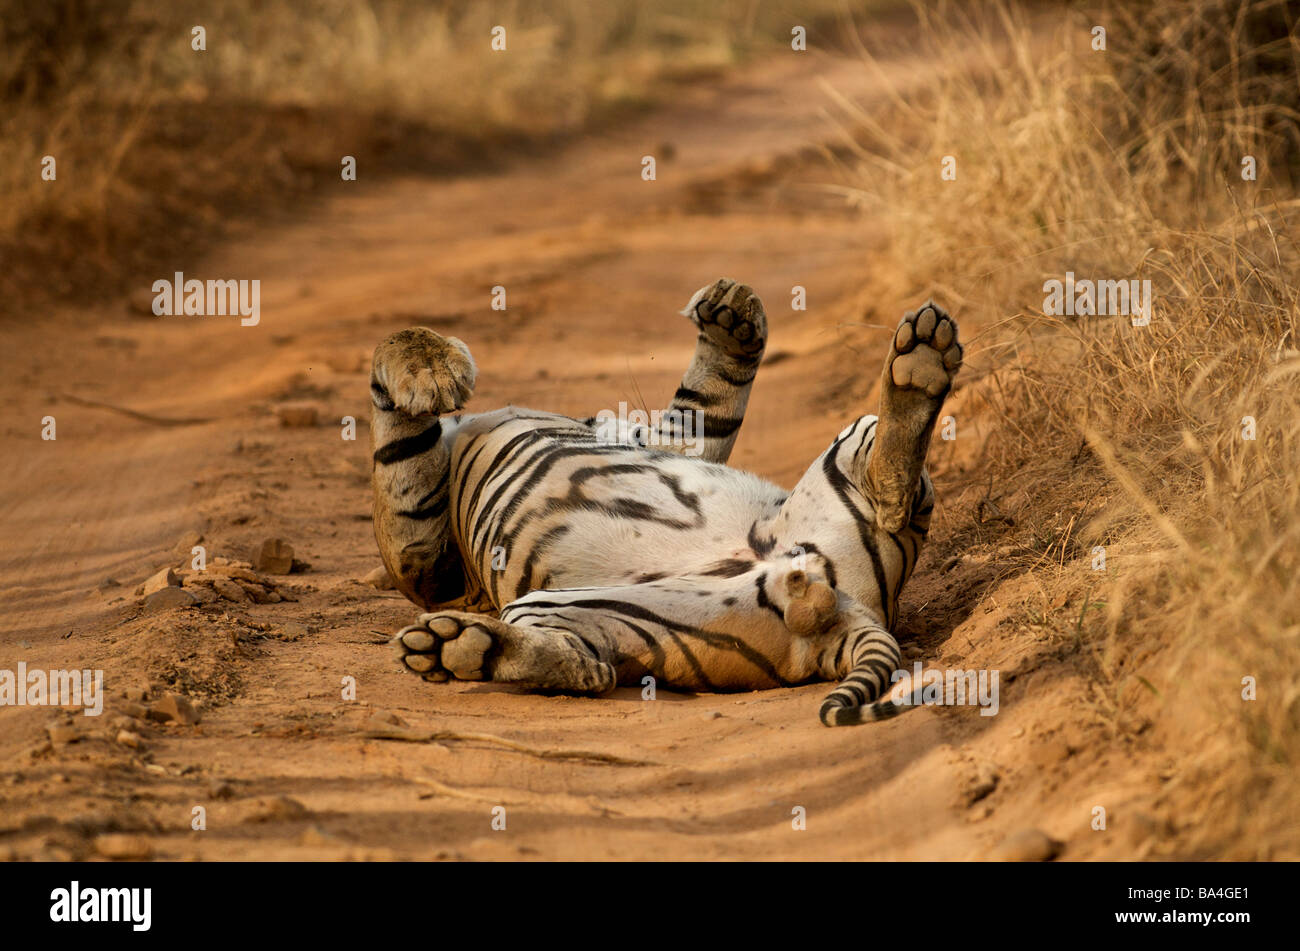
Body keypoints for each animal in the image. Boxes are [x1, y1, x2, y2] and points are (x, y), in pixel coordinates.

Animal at [370, 278, 962, 725]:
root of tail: (856, 613)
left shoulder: (656, 439)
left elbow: (707, 403)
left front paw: (733, 312)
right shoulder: (428, 561)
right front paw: (430, 373)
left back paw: (922, 361)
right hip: (611, 612)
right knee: (590, 668)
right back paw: (458, 646)